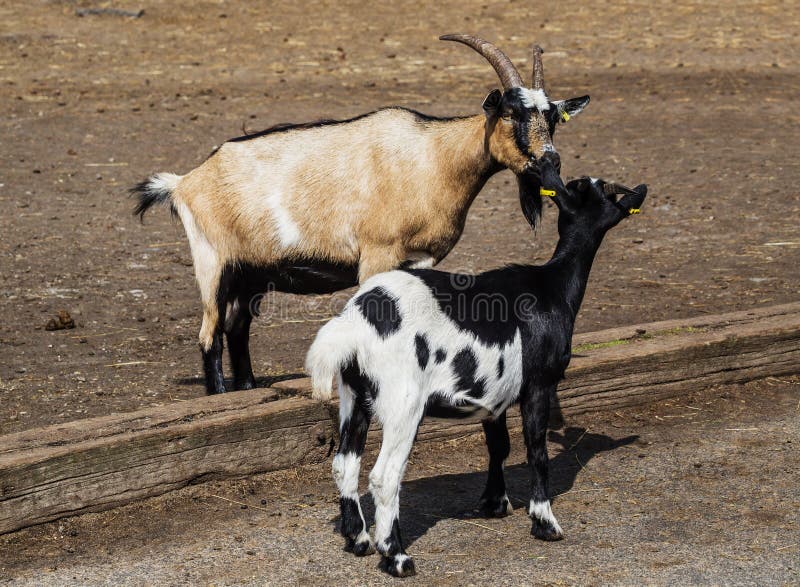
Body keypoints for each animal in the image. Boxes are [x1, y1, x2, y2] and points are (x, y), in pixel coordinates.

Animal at [131, 34, 590, 395]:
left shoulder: (417, 260)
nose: (550, 164)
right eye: (511, 113)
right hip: (213, 263)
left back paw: (247, 387)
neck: (433, 157)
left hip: (252, 272)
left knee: (236, 327)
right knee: (209, 334)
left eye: (553, 117)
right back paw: (219, 394)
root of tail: (184, 182)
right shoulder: (377, 254)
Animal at [306, 158, 648, 577]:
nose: (638, 192)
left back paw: (359, 539)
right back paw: (397, 557)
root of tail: (353, 324)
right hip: (403, 402)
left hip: (355, 395)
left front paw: (494, 503)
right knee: (385, 476)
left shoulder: (493, 395)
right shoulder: (538, 384)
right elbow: (536, 451)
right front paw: (545, 522)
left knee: (345, 464)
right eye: (606, 194)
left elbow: (499, 446)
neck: (552, 285)